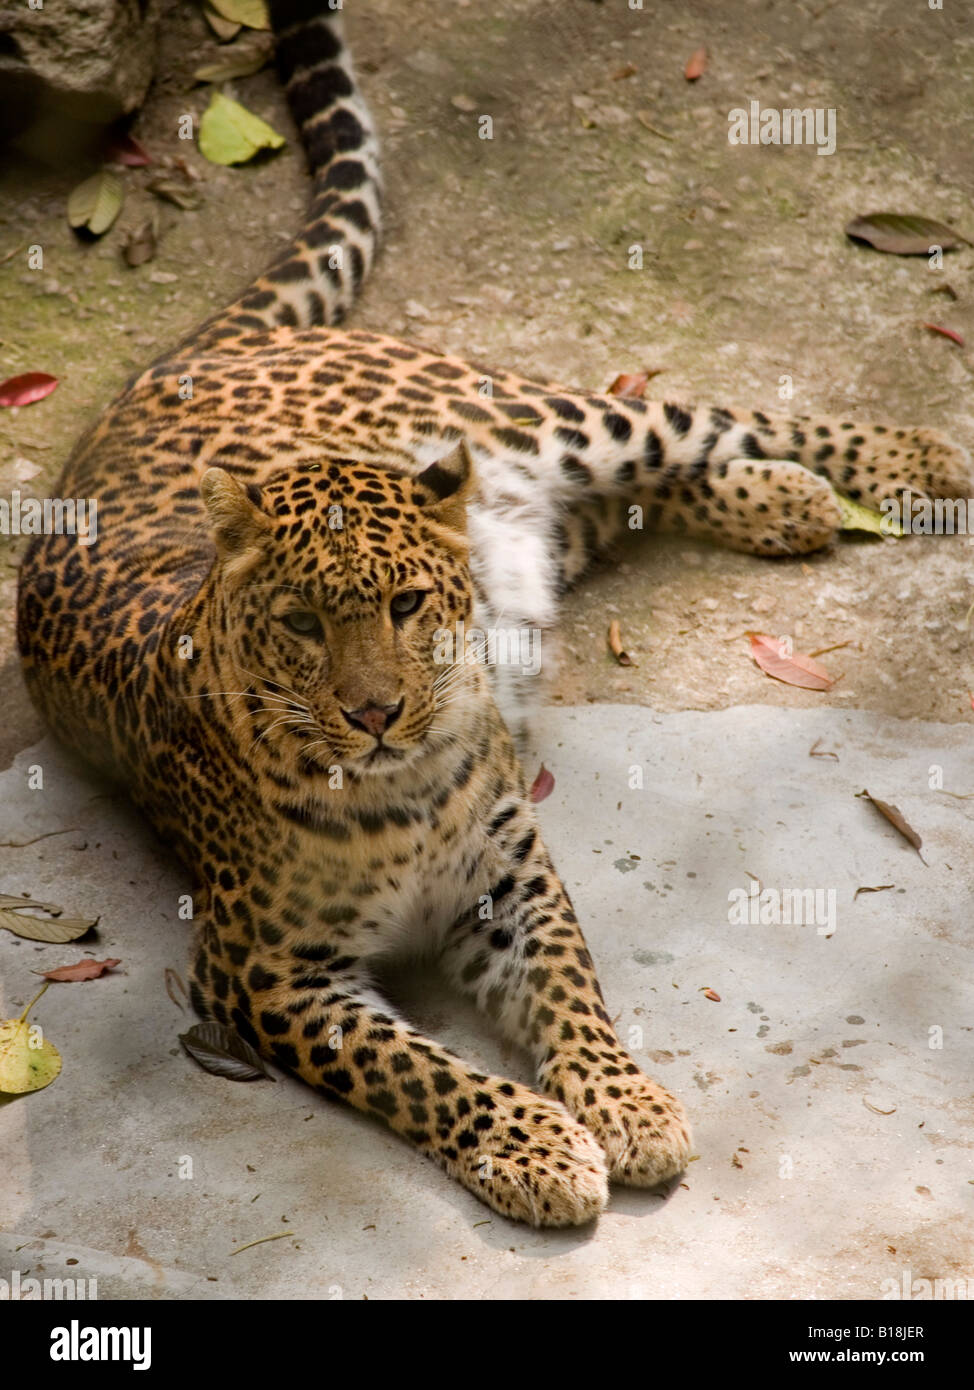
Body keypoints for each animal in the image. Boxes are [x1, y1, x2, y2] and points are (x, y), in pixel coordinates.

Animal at [16, 0, 970, 1227]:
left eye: (407, 603)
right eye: (301, 624)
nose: (375, 715)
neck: (404, 793)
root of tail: (180, 362)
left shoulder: (514, 879)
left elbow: (571, 991)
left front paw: (625, 1103)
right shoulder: (269, 974)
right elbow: (413, 1066)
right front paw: (536, 1144)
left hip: (537, 416)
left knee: (693, 415)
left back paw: (907, 462)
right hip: (544, 511)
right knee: (651, 483)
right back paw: (789, 502)